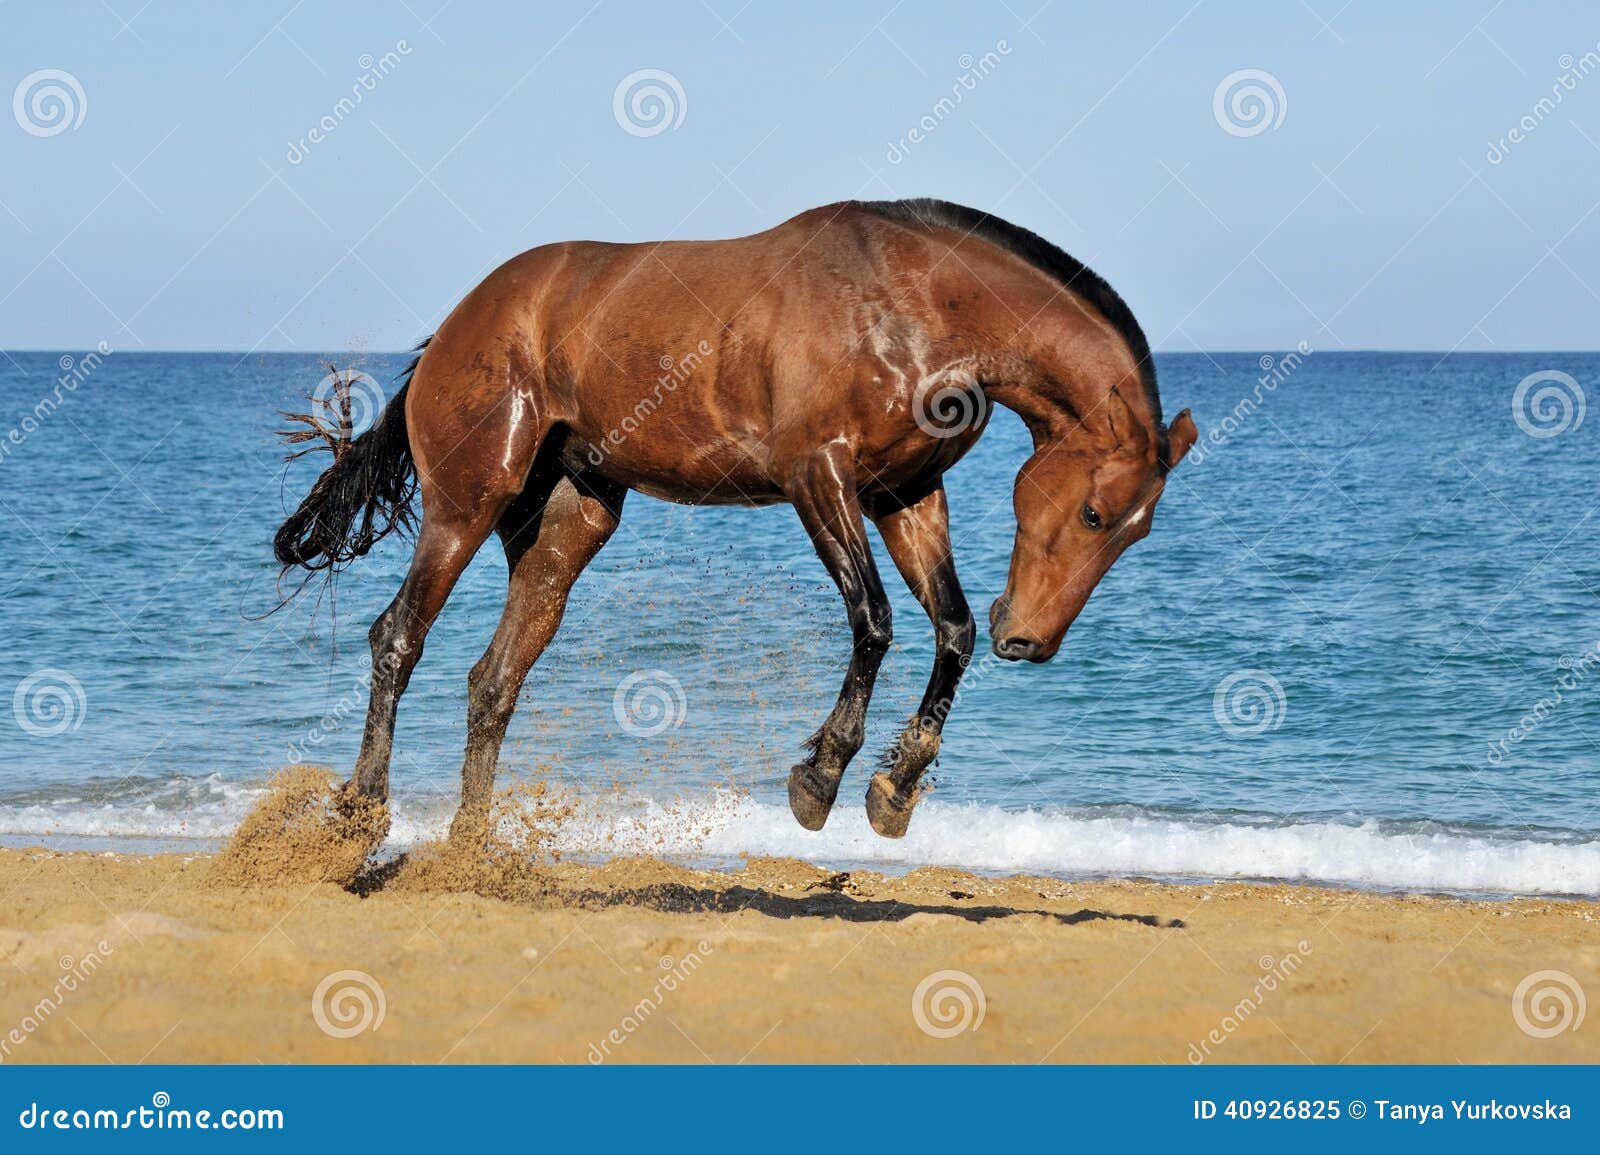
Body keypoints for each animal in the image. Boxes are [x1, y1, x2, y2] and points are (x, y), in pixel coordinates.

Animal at [274, 198, 1197, 843]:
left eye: (1139, 531)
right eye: (1095, 511)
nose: (1030, 640)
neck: (917, 305)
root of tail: (455, 326)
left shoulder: (904, 493)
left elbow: (952, 629)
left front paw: (893, 790)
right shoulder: (818, 475)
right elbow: (875, 622)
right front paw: (820, 777)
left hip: (568, 526)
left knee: (493, 680)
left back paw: (473, 847)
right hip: (469, 501)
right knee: (397, 637)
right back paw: (361, 813)